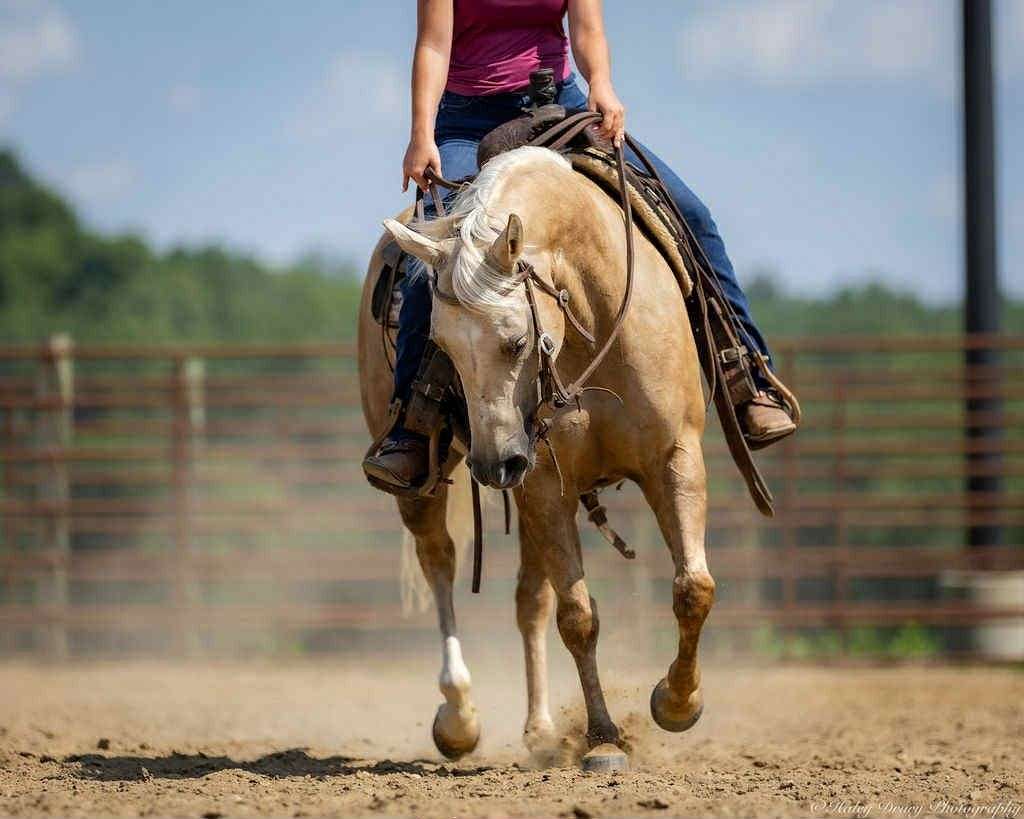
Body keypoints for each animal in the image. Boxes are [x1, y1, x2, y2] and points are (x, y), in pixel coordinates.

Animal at [357, 146, 713, 771]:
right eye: (438, 347)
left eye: (517, 341)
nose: (493, 465)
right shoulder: (545, 483)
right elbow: (578, 616)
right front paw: (604, 738)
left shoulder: (675, 457)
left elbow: (692, 588)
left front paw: (676, 704)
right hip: (430, 486)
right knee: (440, 563)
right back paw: (459, 717)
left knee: (530, 599)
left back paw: (542, 729)